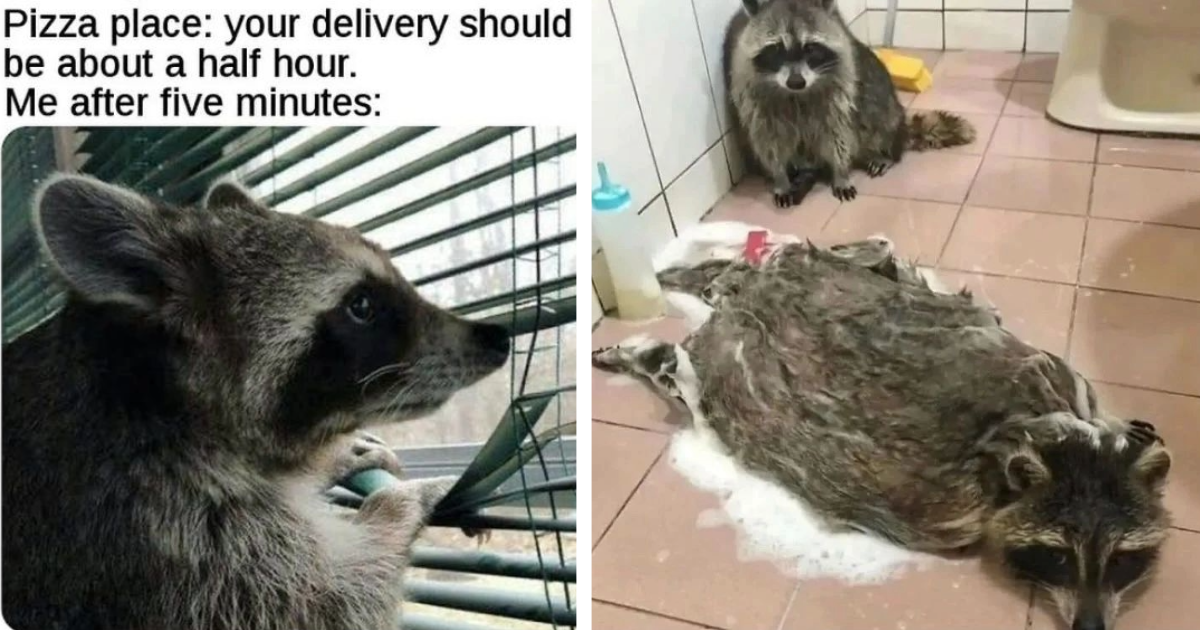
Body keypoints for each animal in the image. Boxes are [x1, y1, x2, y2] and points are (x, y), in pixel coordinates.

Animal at [2, 175, 511, 630]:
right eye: (362, 305)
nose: (497, 337)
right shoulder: (163, 531)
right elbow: (328, 604)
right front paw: (401, 504)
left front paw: (332, 459)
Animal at [724, 0, 975, 207]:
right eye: (776, 48)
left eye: (810, 48)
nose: (796, 81)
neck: (796, 93)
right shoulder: (750, 90)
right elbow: (768, 138)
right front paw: (780, 177)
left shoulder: (841, 77)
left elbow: (838, 131)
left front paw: (840, 172)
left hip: (880, 99)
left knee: (874, 110)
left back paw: (884, 152)